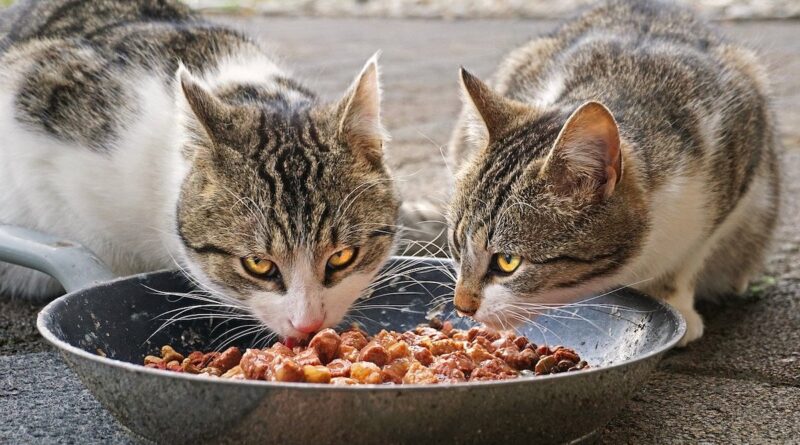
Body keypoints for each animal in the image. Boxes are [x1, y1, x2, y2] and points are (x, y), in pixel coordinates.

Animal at [440, 0, 780, 346]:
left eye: (507, 261)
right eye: (456, 244)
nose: (462, 306)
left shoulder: (738, 155)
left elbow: (689, 256)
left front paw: (676, 302)